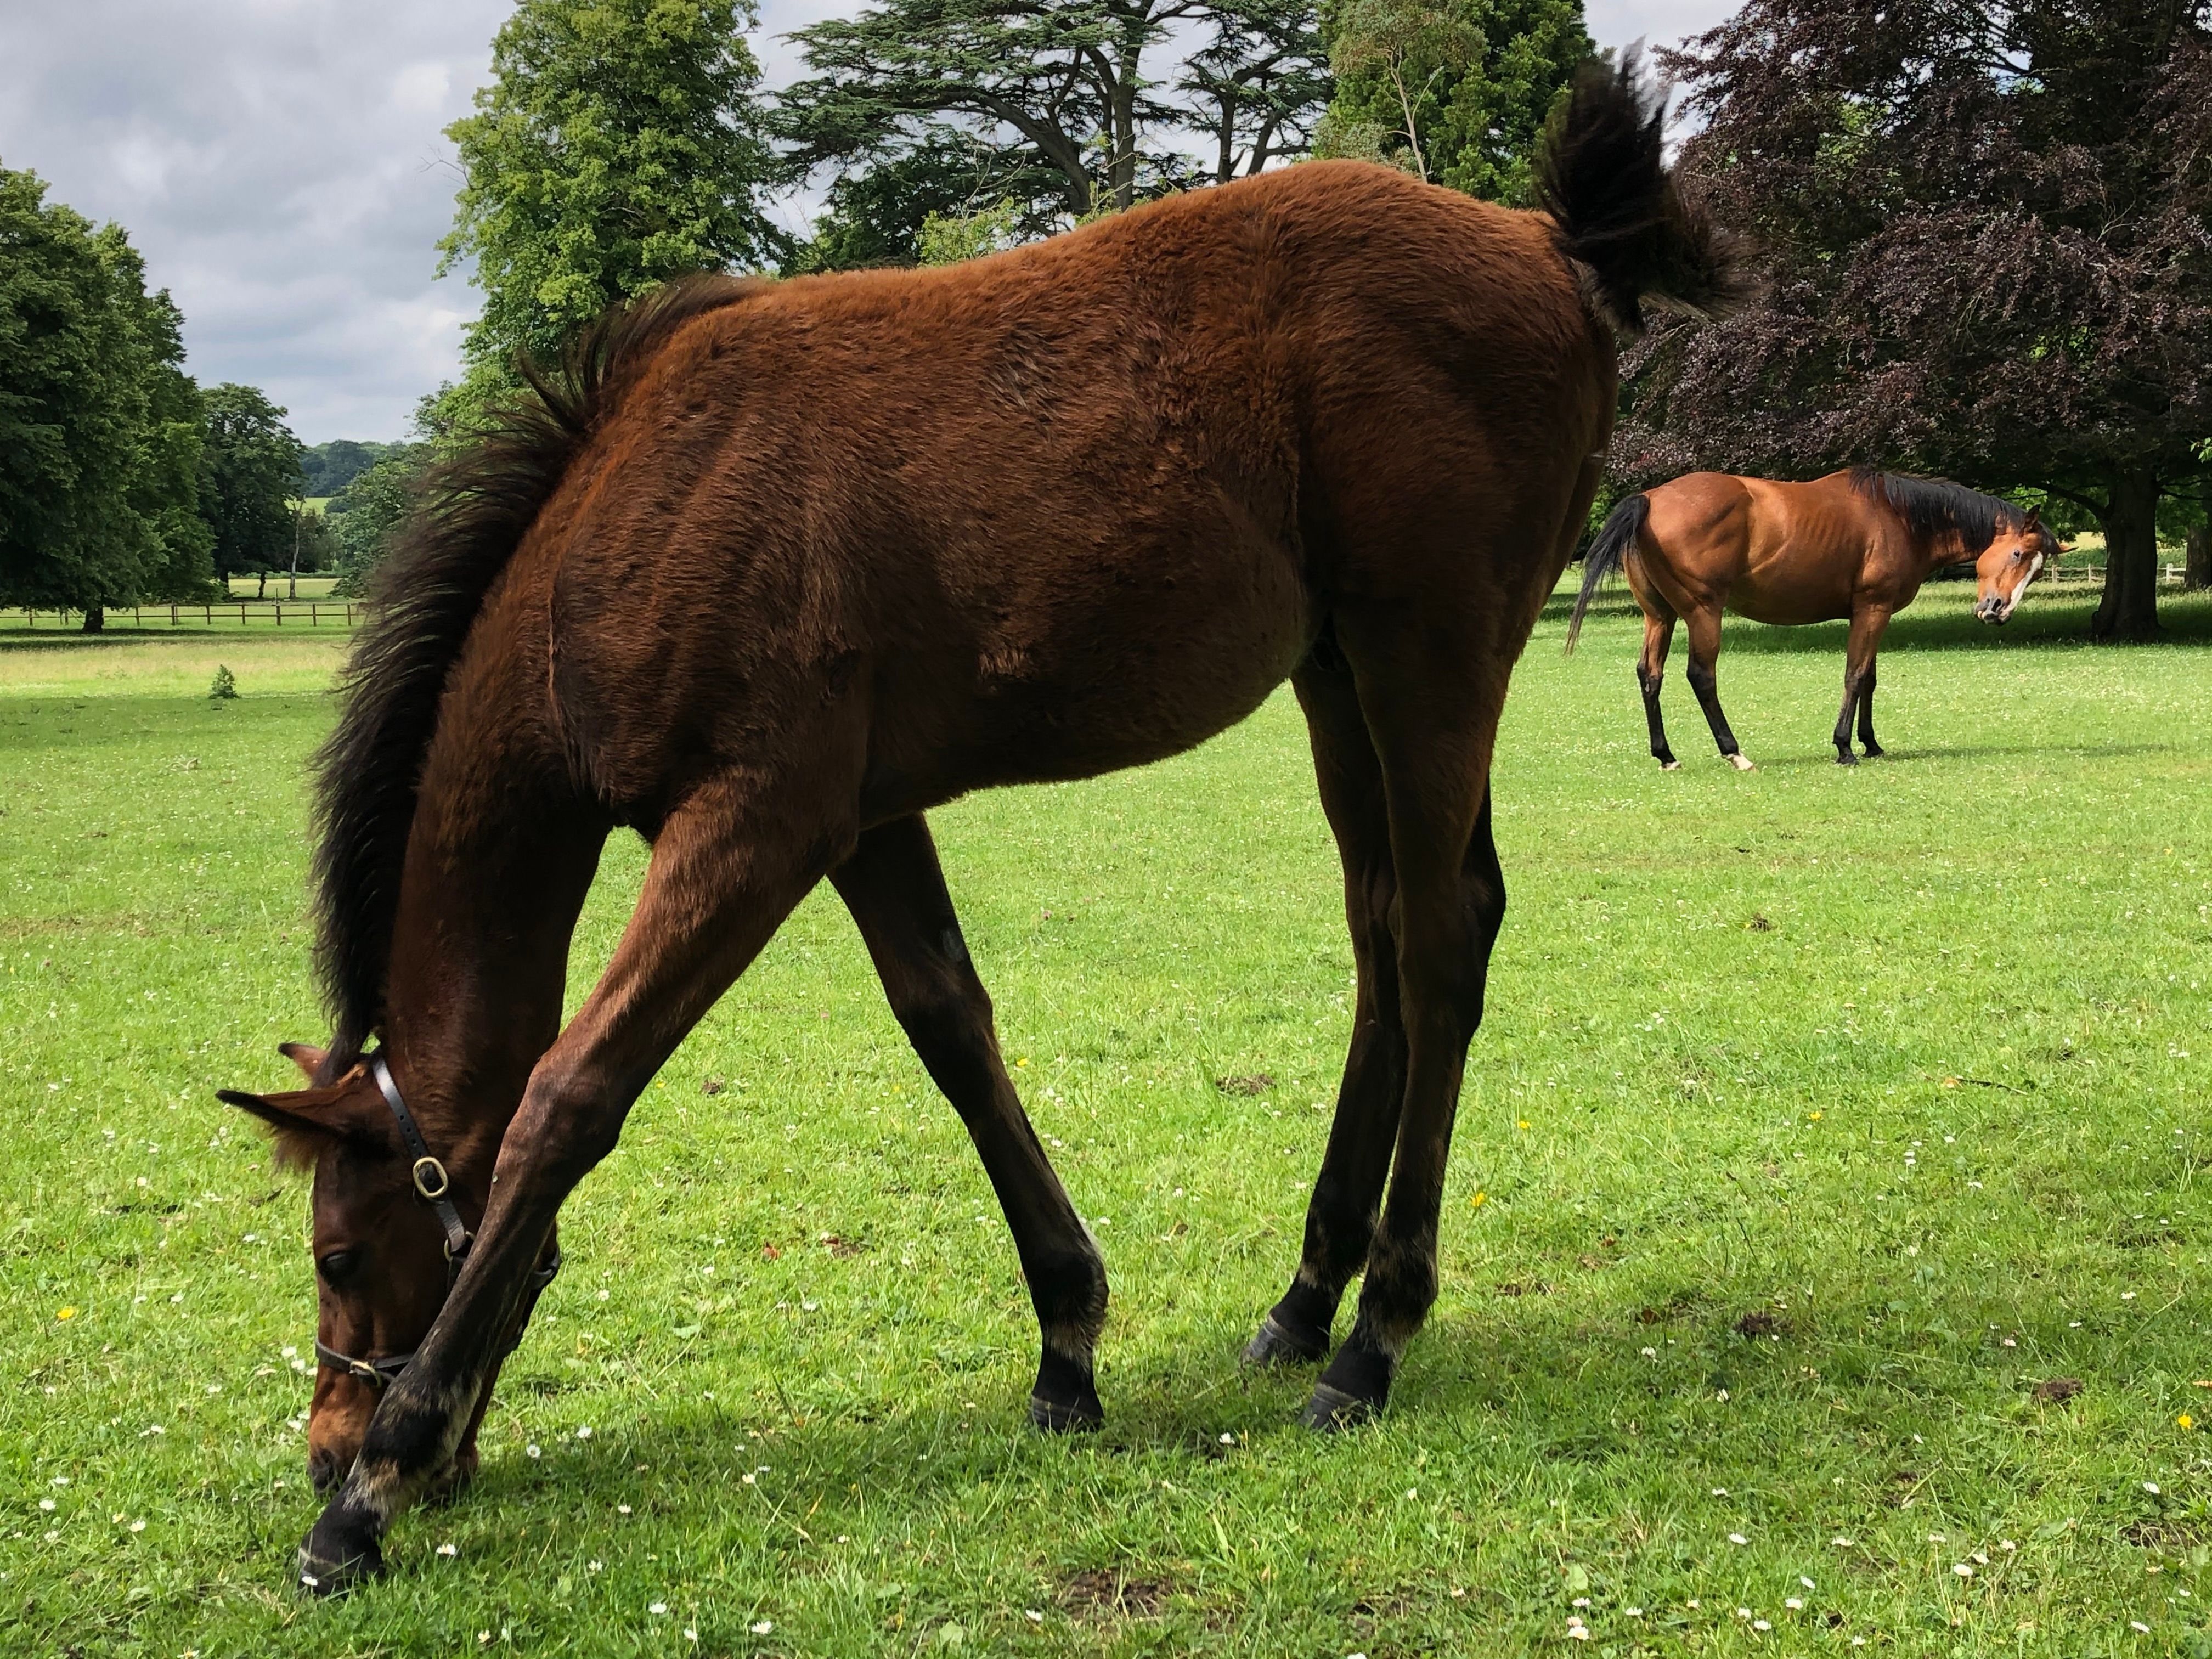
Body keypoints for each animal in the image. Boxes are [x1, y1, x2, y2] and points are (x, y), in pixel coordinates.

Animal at [217, 58, 1734, 1592]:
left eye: (338, 1256)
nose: (326, 1444)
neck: (626, 528)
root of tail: (1543, 240)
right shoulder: (862, 822)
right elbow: (950, 1025)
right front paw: (1067, 1346)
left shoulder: (753, 825)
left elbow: (571, 1096)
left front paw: (378, 1485)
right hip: (1337, 676)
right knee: (1382, 937)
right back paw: (1307, 1299)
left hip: (1431, 656)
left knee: (1440, 938)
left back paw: (1373, 1340)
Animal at [1566, 468, 2061, 768]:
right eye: (2017, 554)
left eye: (2036, 570)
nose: (1998, 611)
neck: (1901, 516)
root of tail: (1649, 499)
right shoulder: (1873, 609)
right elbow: (1855, 675)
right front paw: (1845, 747)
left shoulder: (1870, 613)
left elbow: (1869, 680)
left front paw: (1871, 743)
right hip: (1703, 613)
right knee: (1701, 676)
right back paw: (1734, 752)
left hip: (1660, 616)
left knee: (1650, 674)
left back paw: (1666, 755)